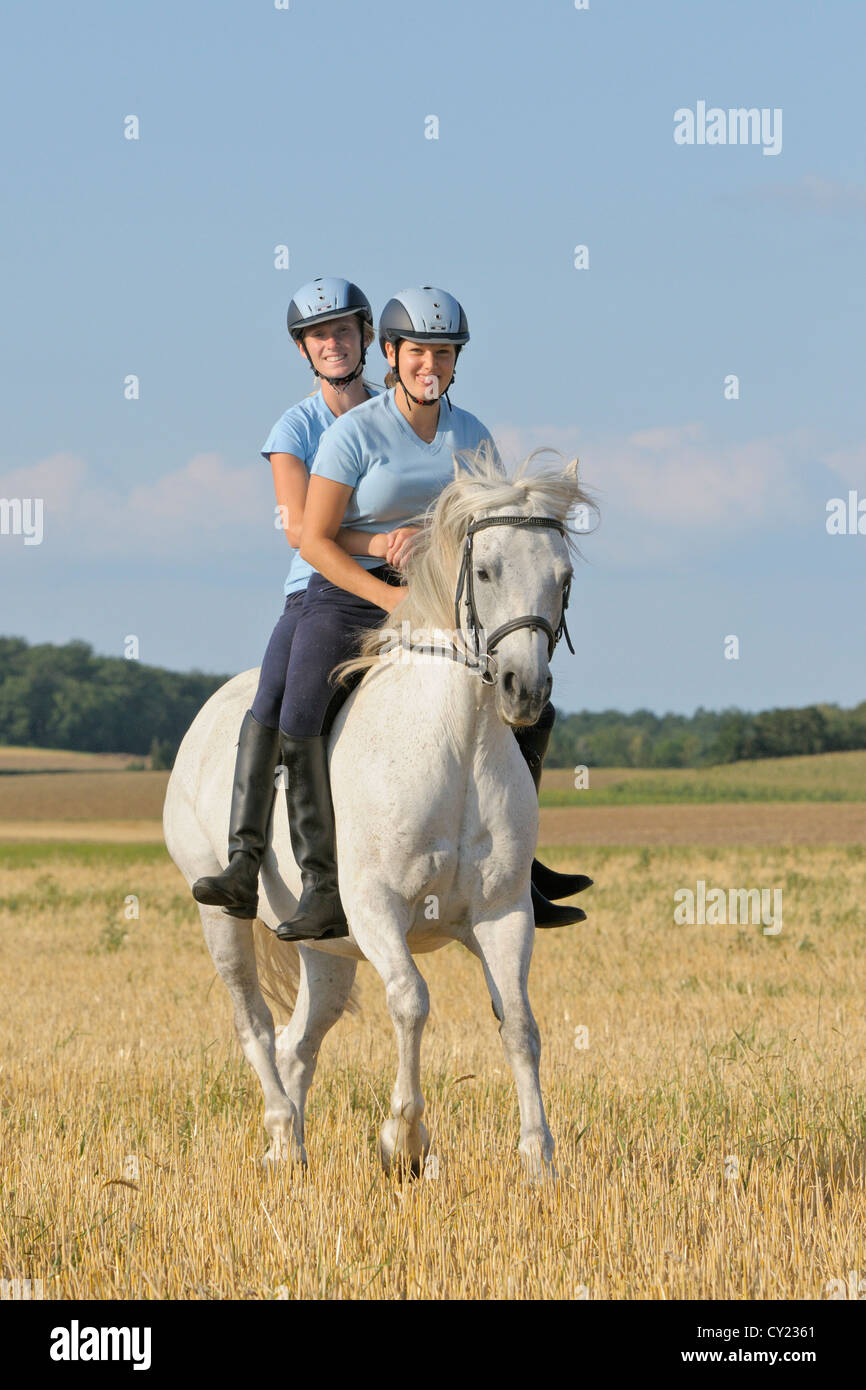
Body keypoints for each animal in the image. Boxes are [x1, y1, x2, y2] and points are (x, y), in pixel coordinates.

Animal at [163, 448, 593, 1179]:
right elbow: (412, 1002)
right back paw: (281, 1127)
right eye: (485, 570)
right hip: (224, 918)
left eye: (562, 578)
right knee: (254, 1023)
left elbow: (520, 1023)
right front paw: (404, 1141)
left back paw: (290, 1151)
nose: (524, 690)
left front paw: (539, 1160)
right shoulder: (376, 908)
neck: (458, 741)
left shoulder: (502, 912)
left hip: (325, 948)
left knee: (297, 1040)